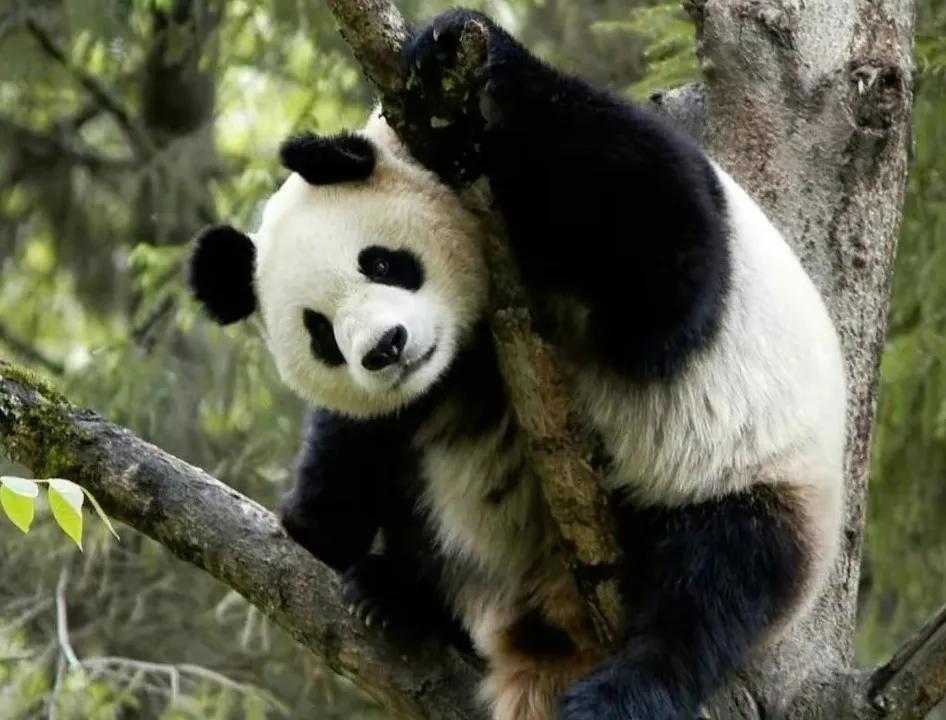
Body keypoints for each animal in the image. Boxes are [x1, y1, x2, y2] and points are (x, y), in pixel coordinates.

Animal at [188, 9, 847, 720]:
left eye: (382, 262)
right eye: (321, 334)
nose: (386, 348)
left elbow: (664, 276)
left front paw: (453, 51)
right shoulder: (421, 387)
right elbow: (351, 452)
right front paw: (317, 521)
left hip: (753, 476)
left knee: (715, 584)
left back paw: (618, 693)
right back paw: (397, 595)